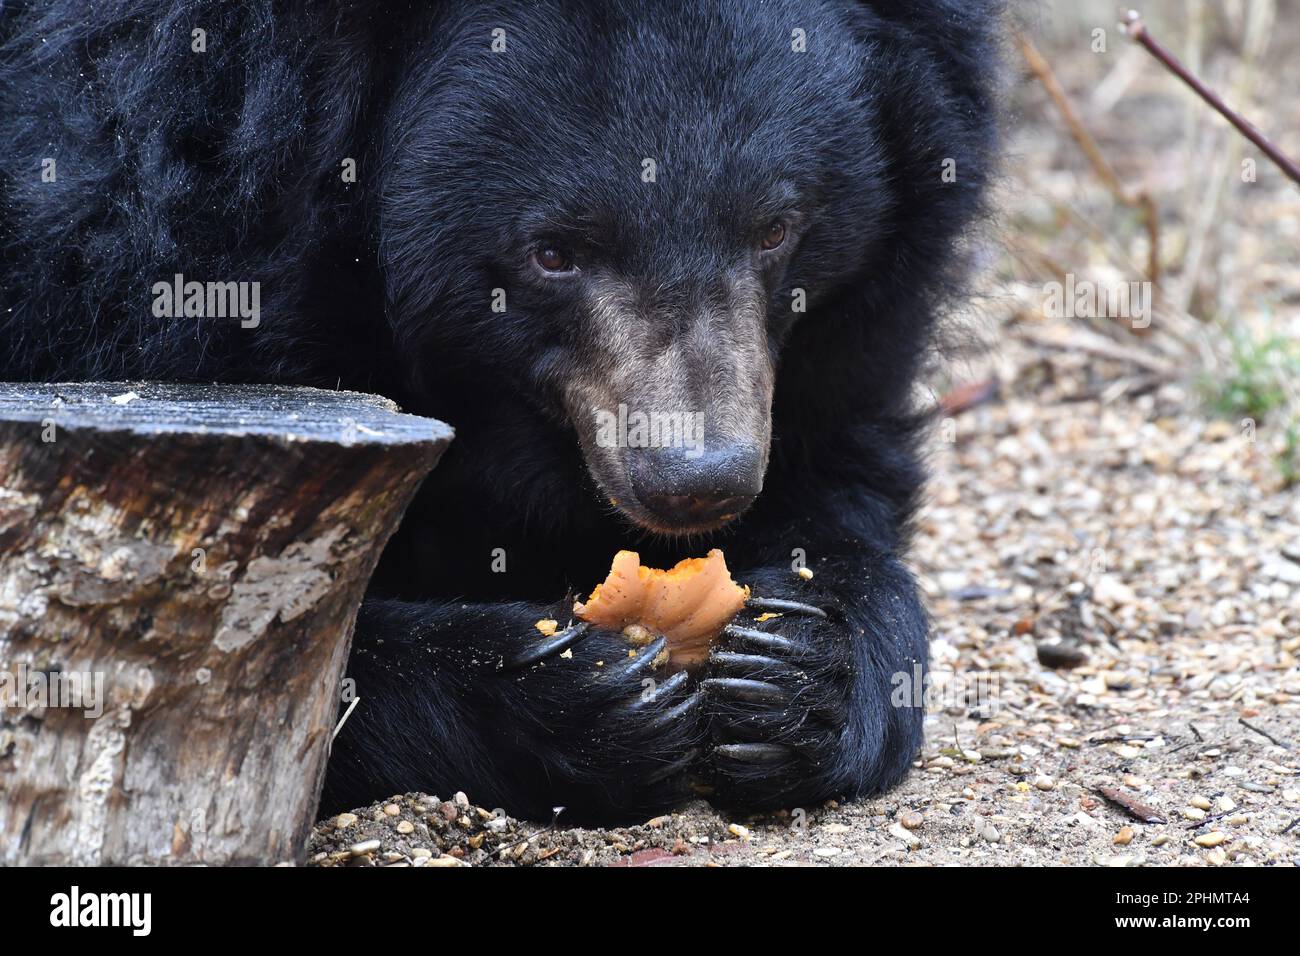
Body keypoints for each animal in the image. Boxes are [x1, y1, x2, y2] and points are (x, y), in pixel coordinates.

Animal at [0, 0, 1000, 824]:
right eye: (553, 252)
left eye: (775, 229)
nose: (697, 482)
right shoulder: (118, 274)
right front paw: (579, 695)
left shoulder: (843, 340)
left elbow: (840, 490)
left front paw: (797, 670)